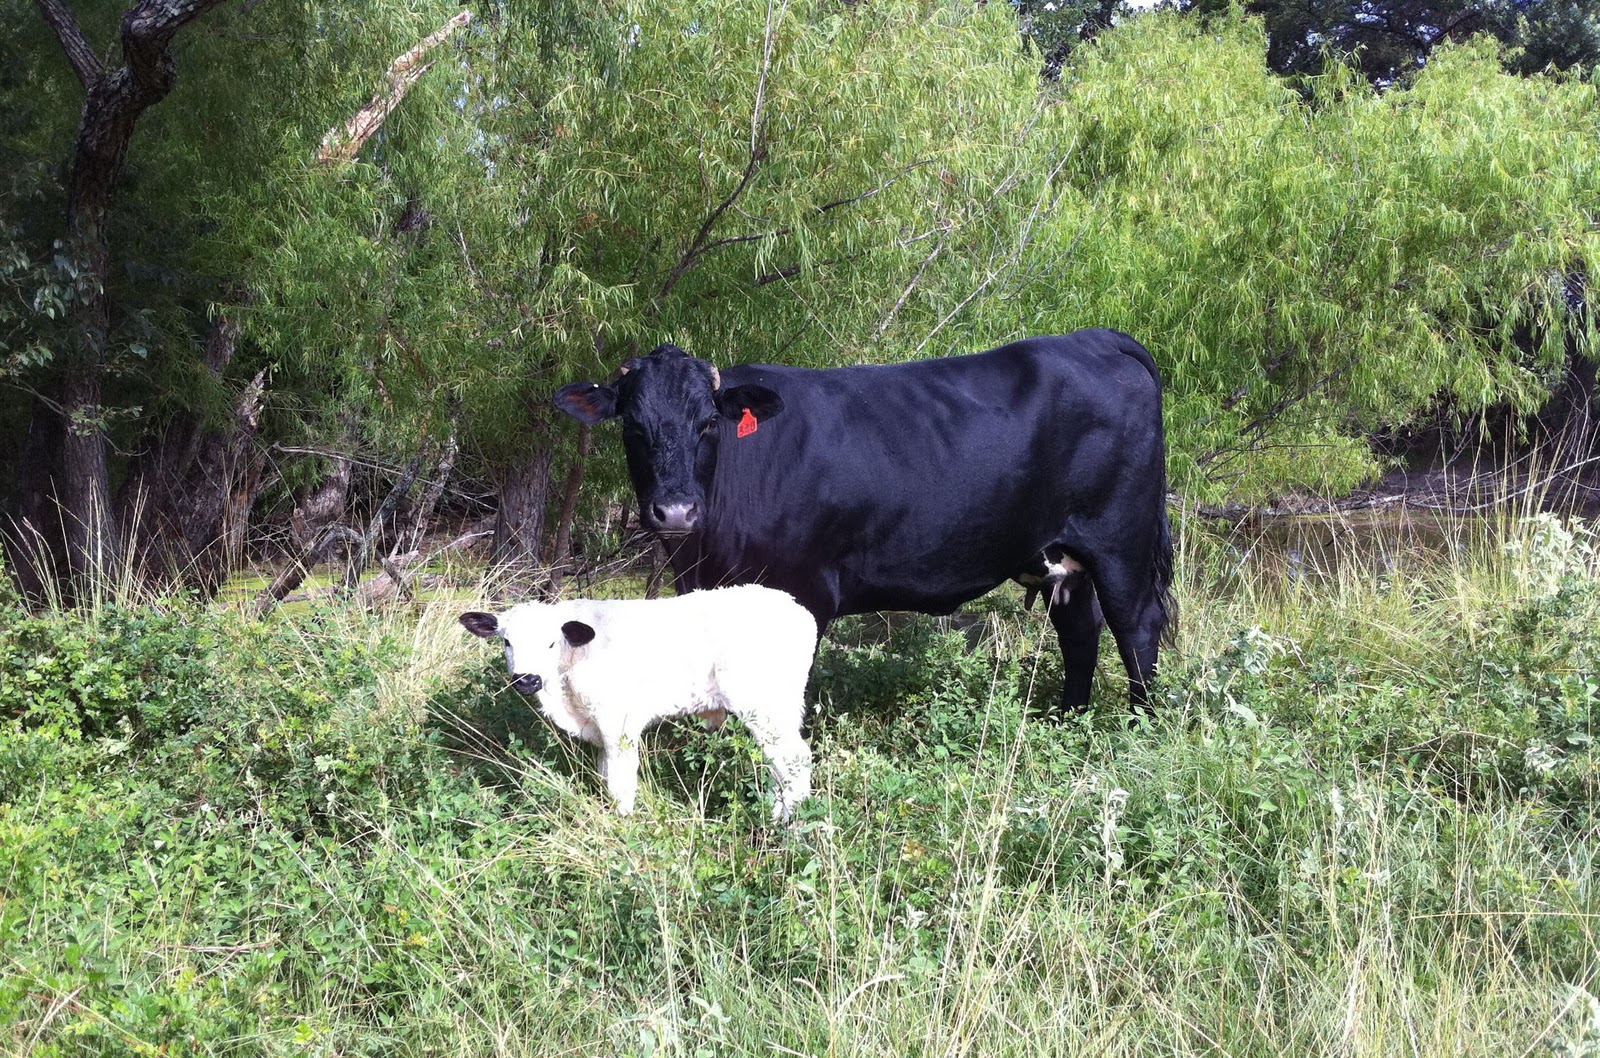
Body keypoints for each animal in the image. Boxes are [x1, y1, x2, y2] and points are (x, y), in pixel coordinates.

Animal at [552, 329, 1175, 711]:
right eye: (632, 426)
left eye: (708, 424)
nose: (677, 510)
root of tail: (1094, 338)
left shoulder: (803, 593)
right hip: (1056, 552)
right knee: (1079, 627)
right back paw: (1069, 721)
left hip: (1119, 539)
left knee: (1136, 624)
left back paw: (1133, 728)